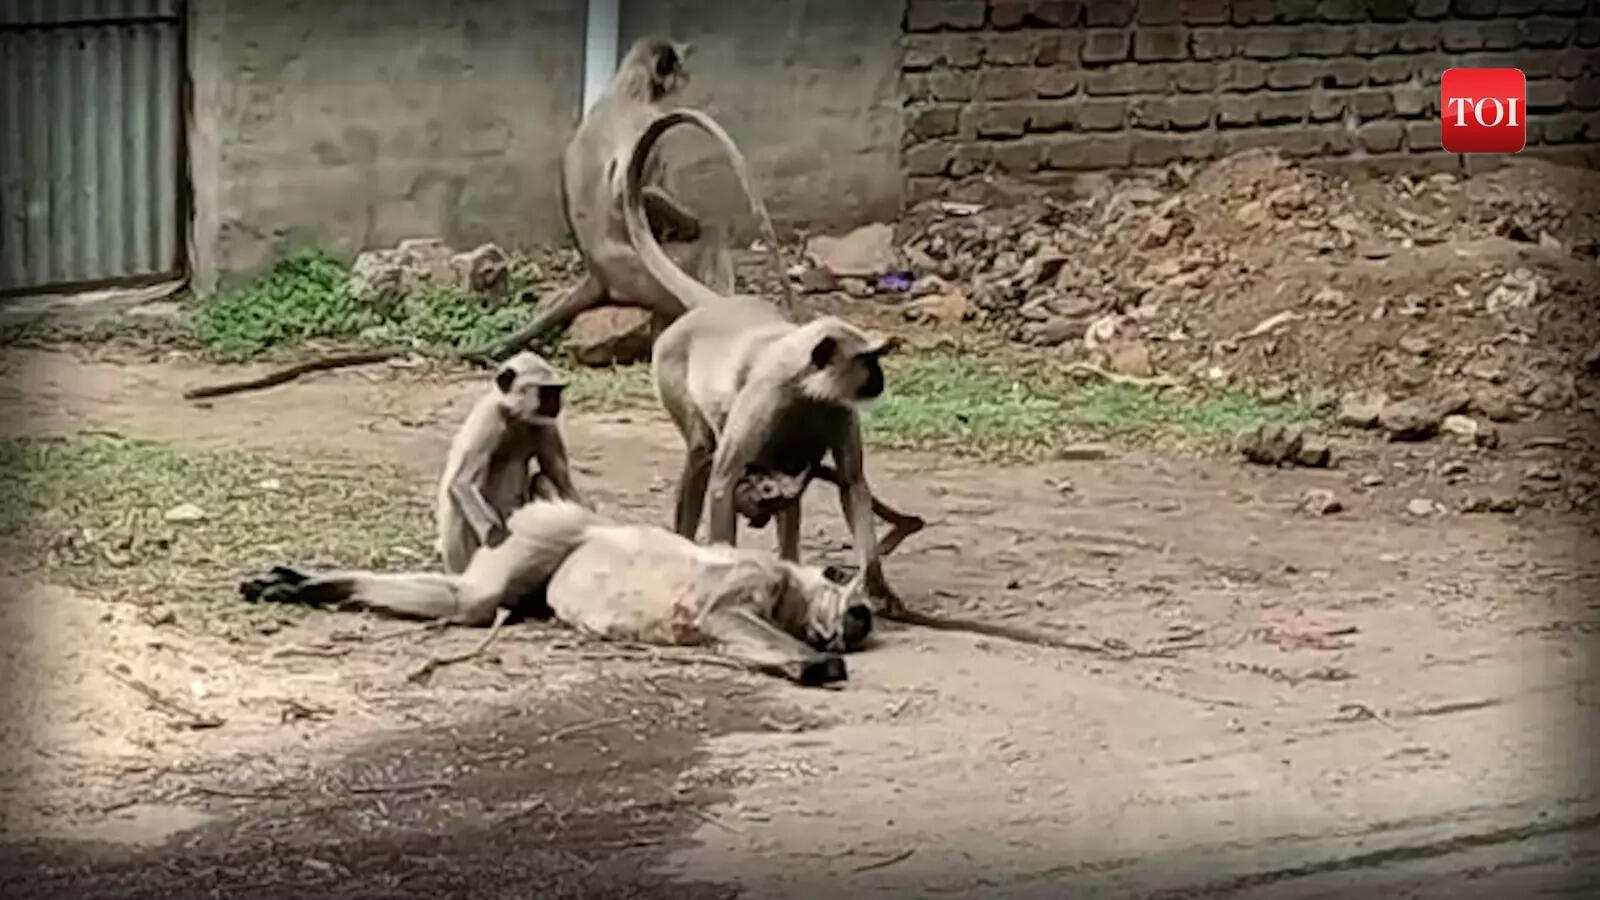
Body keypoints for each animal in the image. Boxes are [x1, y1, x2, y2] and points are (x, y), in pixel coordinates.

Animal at [182, 36, 791, 402]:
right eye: (676, 71)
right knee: (705, 241)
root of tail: (599, 272)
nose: (686, 77)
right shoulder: (644, 122)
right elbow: (638, 188)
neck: (625, 90)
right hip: (645, 278)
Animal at [240, 499, 874, 687]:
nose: (845, 632)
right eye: (856, 614)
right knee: (474, 598)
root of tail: (591, 525)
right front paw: (819, 662)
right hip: (551, 524)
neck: (792, 592)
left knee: (469, 604)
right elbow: (722, 614)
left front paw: (806, 663)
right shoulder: (753, 576)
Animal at [436, 350, 588, 574]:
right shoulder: (490, 418)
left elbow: (561, 480)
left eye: (557, 391)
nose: (558, 404)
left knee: (542, 479)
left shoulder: (545, 425)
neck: (515, 416)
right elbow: (462, 483)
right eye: (547, 392)